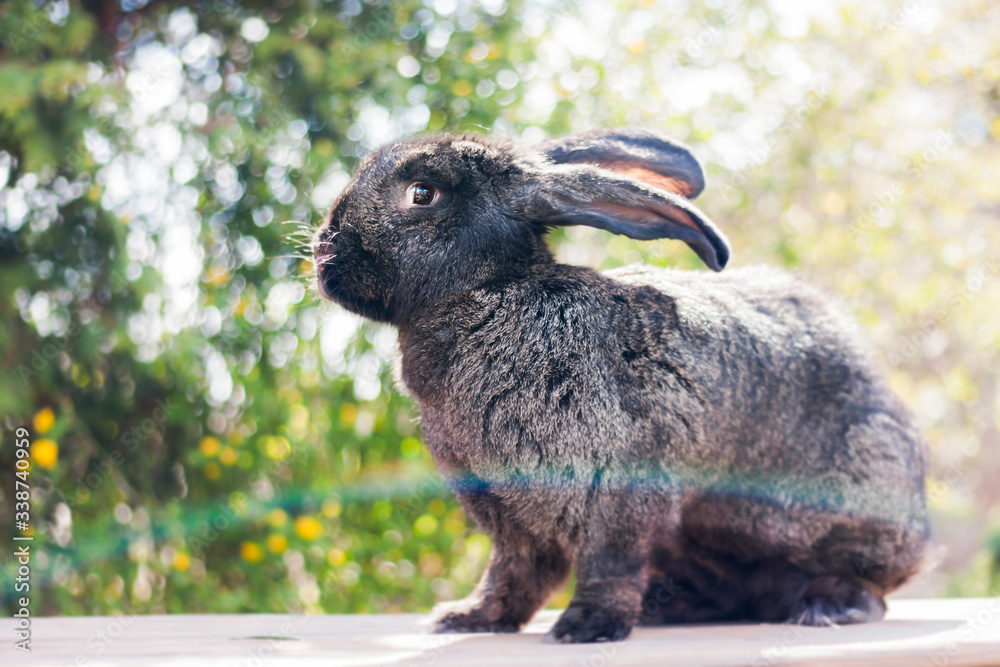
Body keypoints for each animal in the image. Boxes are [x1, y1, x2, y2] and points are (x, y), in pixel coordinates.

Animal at [311, 128, 929, 643]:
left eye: (423, 193)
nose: (322, 249)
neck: (493, 293)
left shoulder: (618, 490)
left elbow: (607, 564)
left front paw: (585, 628)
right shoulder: (510, 518)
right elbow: (514, 575)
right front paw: (467, 618)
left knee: (868, 587)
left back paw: (827, 607)